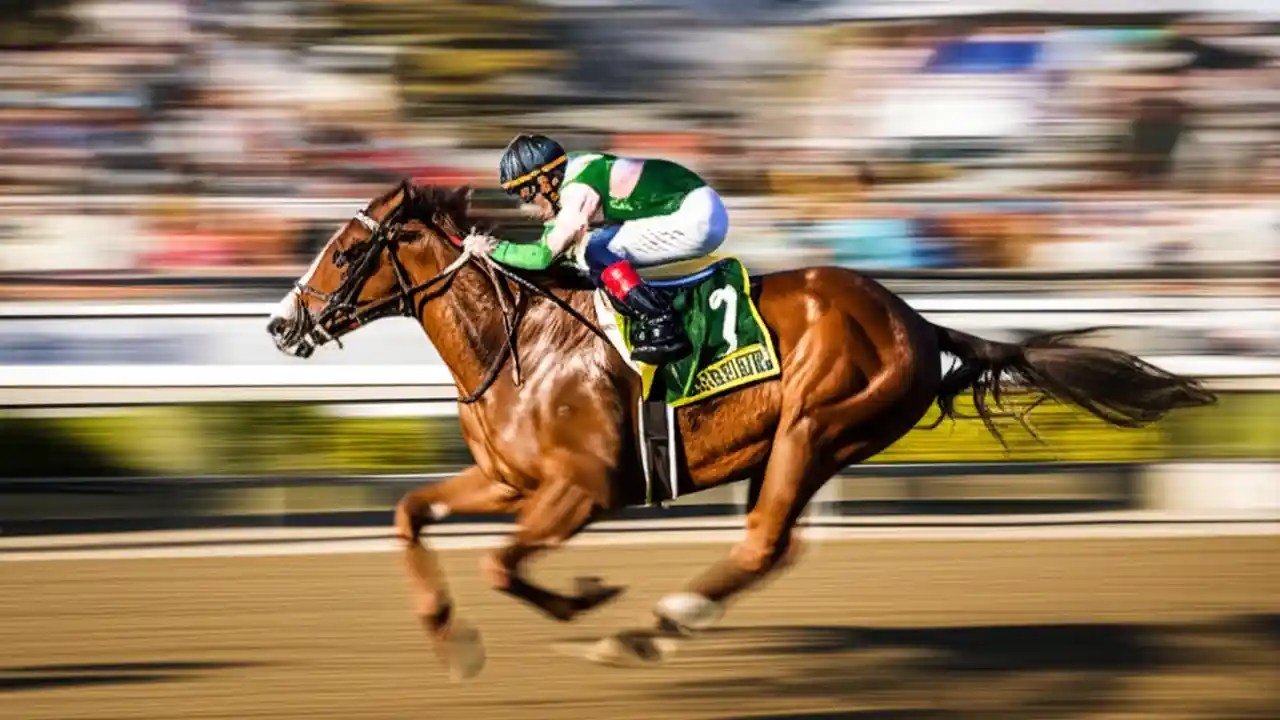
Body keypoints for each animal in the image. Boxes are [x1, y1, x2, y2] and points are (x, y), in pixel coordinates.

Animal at [266, 180, 1215, 679]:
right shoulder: (508, 482)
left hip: (817, 424)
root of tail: (915, 320)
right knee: (775, 542)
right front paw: (449, 638)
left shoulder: (582, 490)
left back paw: (651, 624)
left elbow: (503, 565)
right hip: (799, 445)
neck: (520, 343)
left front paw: (587, 601)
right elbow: (407, 514)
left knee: (764, 541)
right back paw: (669, 621)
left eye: (344, 252)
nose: (280, 324)